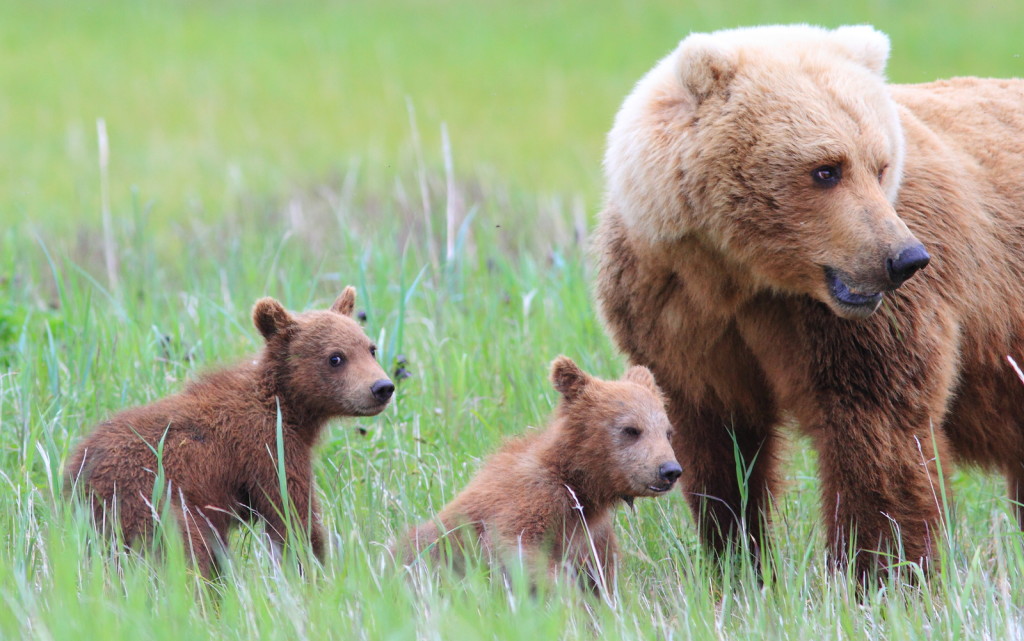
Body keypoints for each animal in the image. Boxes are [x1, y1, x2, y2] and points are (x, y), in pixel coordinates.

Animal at [65, 287, 394, 575]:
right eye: (335, 357)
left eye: (371, 349)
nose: (382, 387)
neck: (287, 407)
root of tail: (75, 477)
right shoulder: (265, 446)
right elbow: (291, 514)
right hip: (151, 502)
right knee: (188, 553)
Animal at [394, 356, 682, 593]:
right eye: (631, 429)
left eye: (667, 432)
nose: (670, 470)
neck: (579, 484)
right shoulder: (532, 499)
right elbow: (513, 544)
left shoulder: (592, 536)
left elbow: (601, 575)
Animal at [592, 24, 1024, 580]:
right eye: (826, 169)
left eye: (880, 165)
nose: (905, 258)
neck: (740, 276)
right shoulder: (675, 313)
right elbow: (718, 450)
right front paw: (739, 563)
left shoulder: (853, 323)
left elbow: (878, 433)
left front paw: (879, 571)